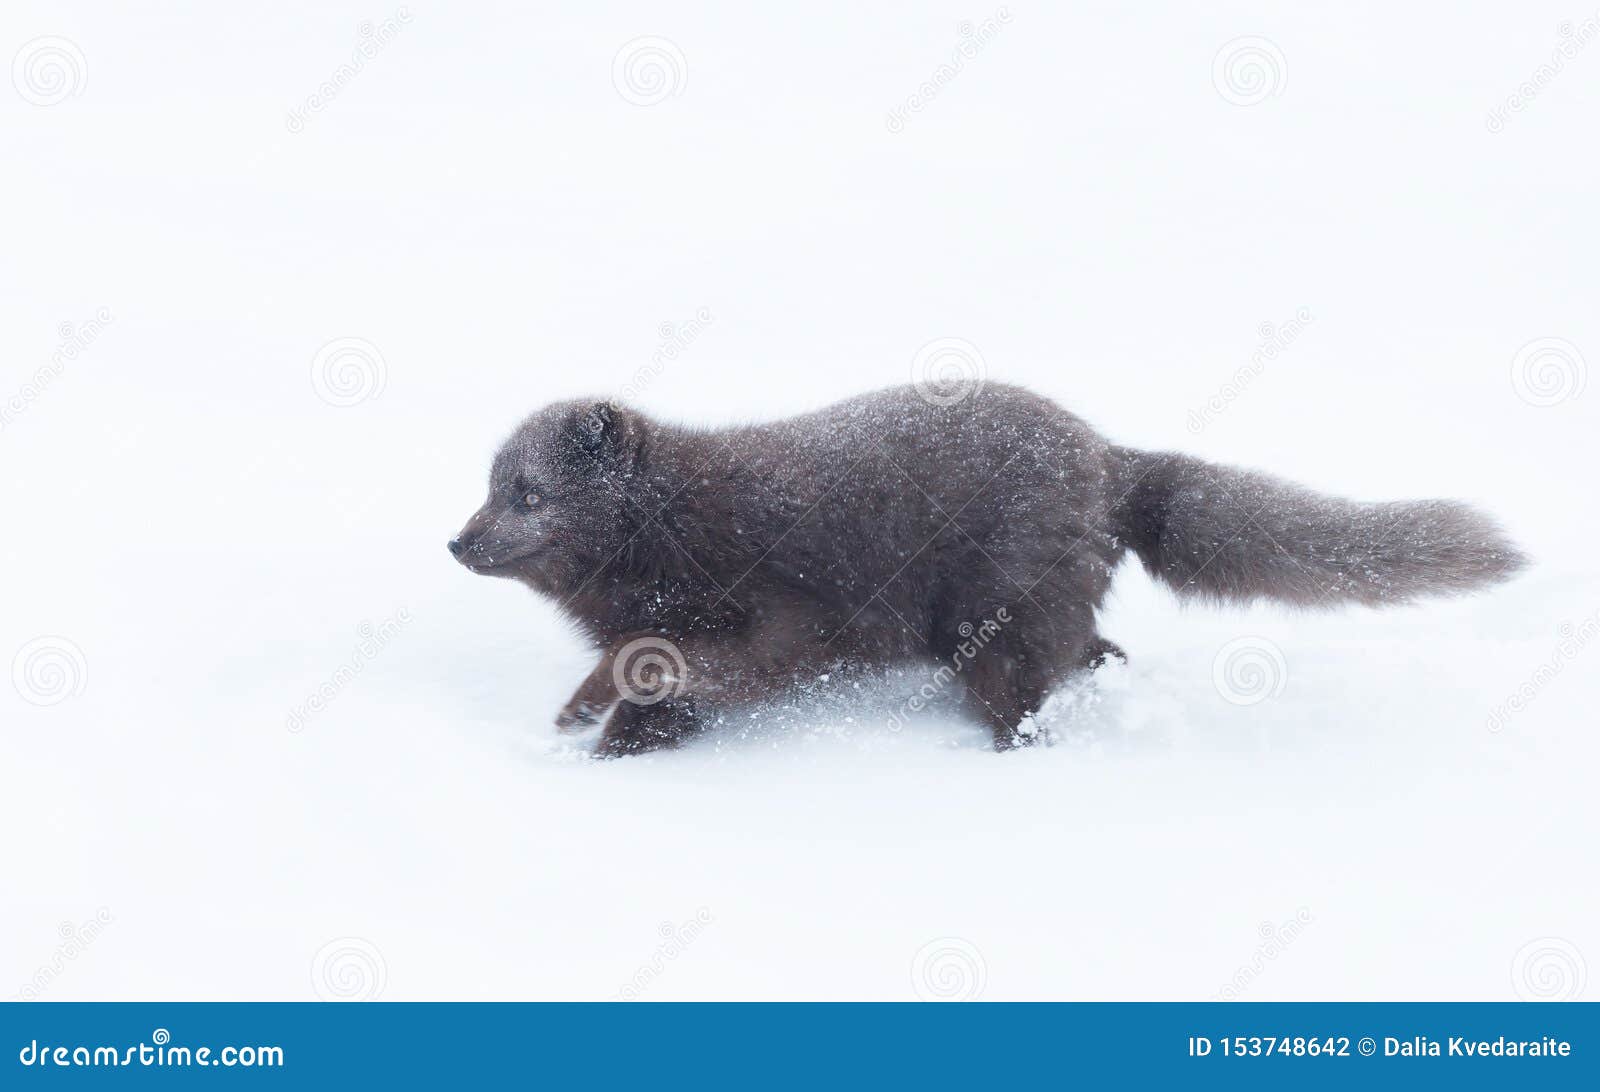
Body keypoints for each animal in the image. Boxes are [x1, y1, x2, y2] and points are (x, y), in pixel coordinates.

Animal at [450, 384, 1525, 757]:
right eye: (487, 485)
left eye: (529, 493)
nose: (456, 544)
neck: (673, 528)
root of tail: (1104, 456)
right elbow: (656, 696)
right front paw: (605, 751)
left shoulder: (778, 626)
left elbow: (659, 663)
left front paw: (583, 710)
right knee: (1092, 651)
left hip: (992, 625)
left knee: (1032, 697)